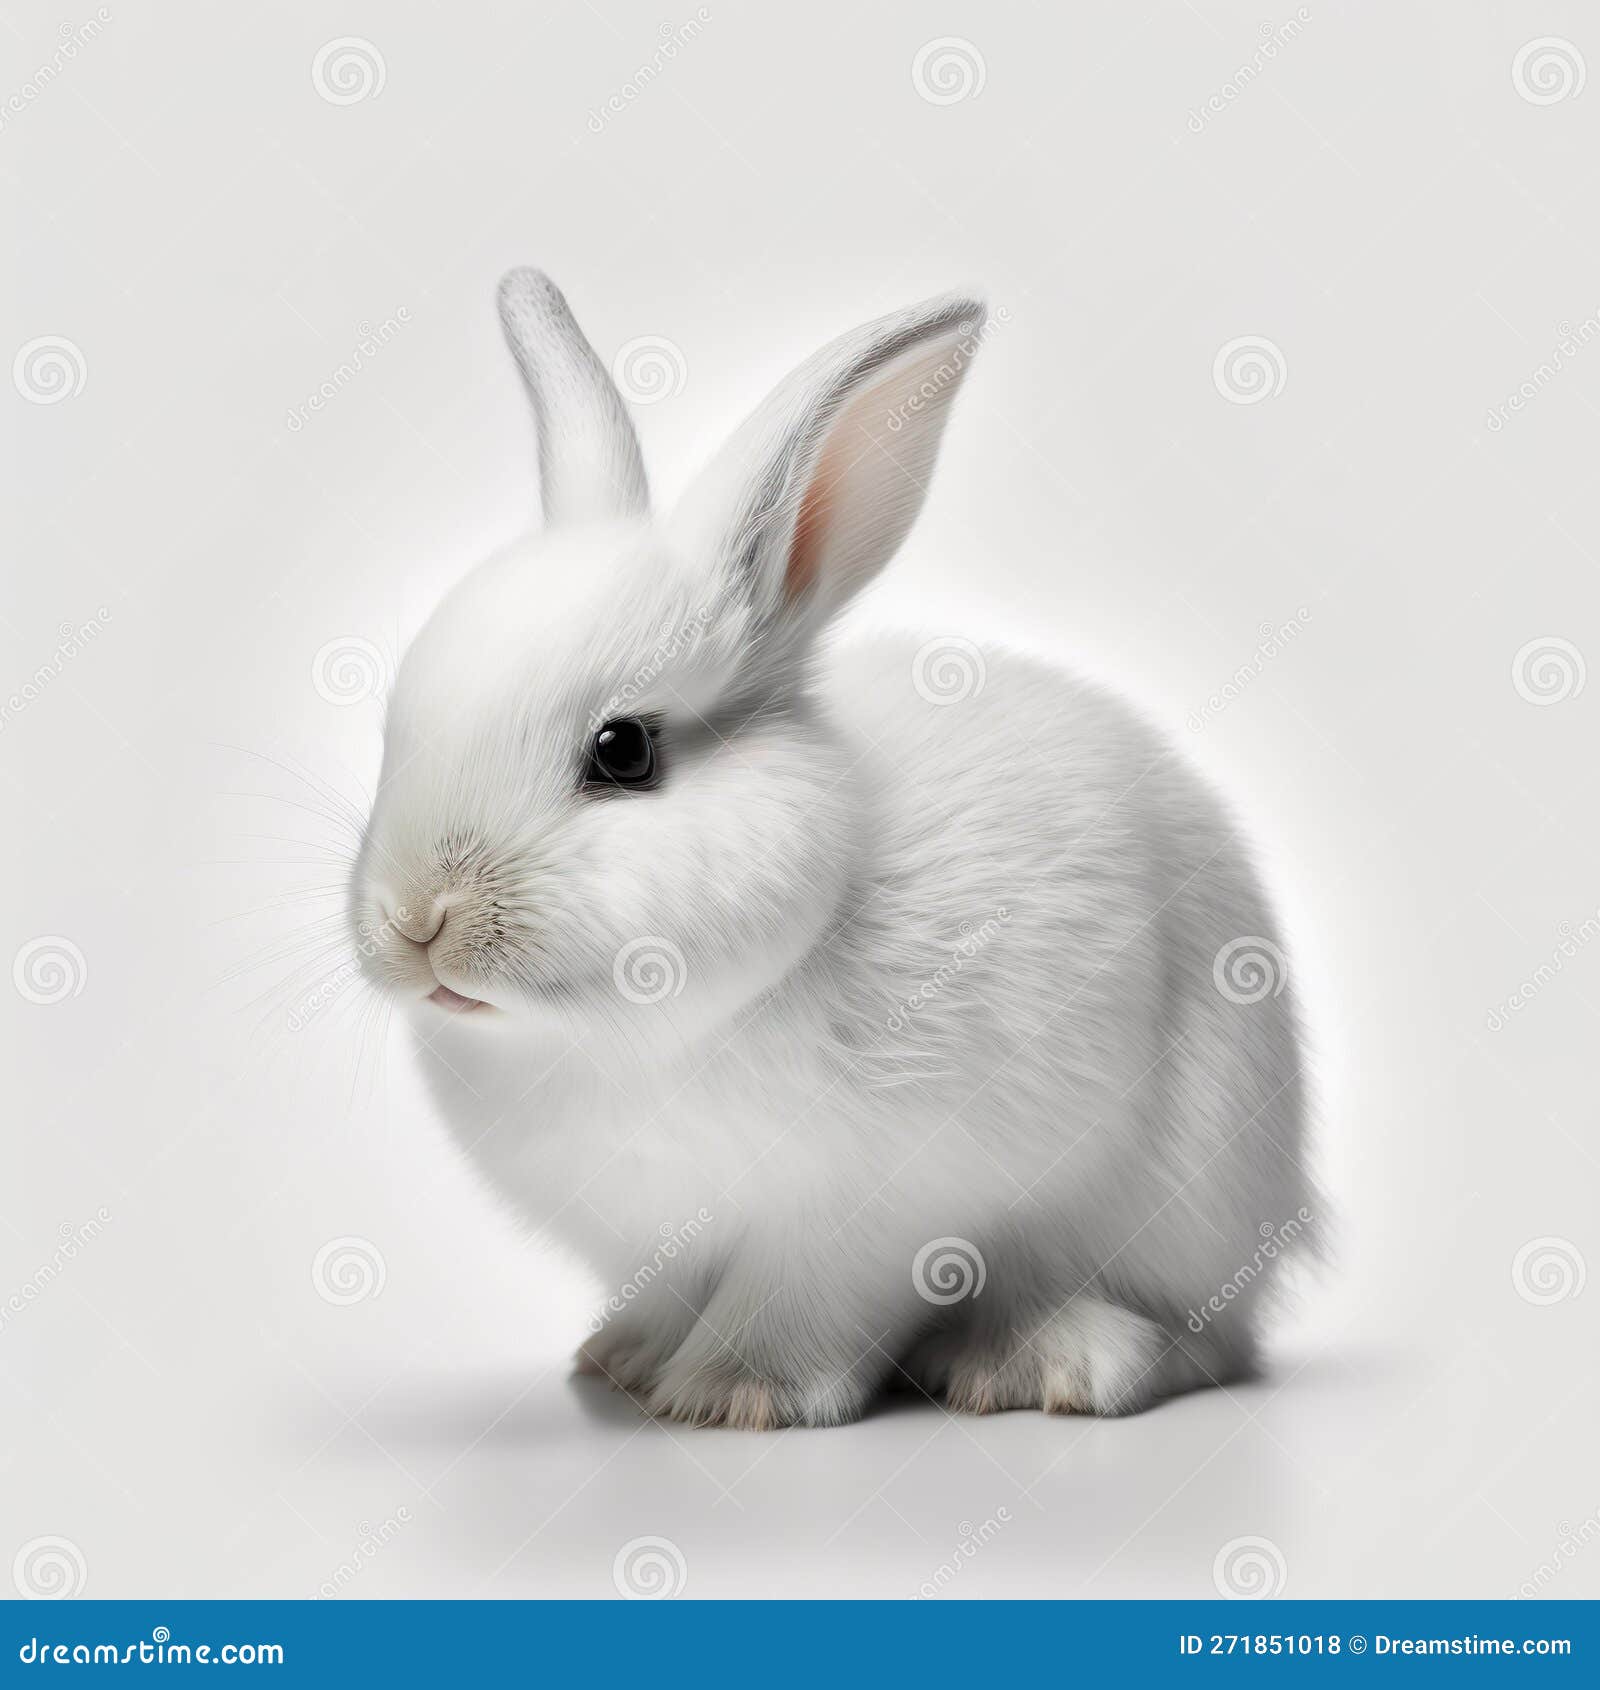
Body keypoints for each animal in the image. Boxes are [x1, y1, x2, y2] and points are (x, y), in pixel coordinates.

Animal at [347, 268, 1311, 1430]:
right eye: (397, 729)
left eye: (623, 752)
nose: (417, 919)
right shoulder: (658, 1242)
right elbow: (669, 1294)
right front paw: (624, 1363)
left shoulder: (875, 1213)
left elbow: (800, 1306)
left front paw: (733, 1394)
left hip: (1186, 1196)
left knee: (1199, 1337)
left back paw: (1039, 1363)